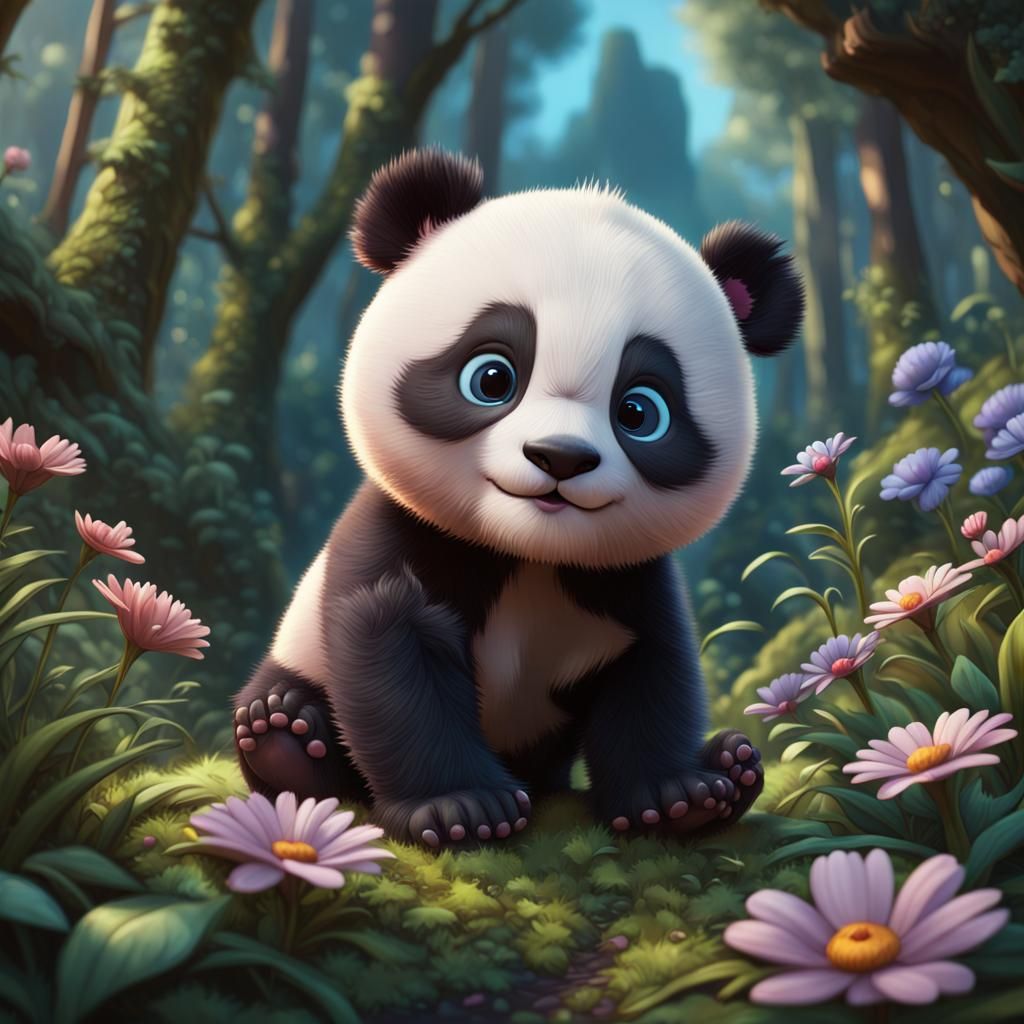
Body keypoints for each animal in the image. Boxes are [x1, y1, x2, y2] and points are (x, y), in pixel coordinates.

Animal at [234, 148, 803, 848]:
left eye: (640, 411)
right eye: (492, 377)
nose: (560, 457)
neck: (527, 551)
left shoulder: (628, 577)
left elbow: (654, 666)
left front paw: (678, 799)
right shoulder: (398, 531)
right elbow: (390, 651)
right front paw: (459, 808)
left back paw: (731, 767)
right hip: (295, 652)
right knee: (286, 706)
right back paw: (287, 736)